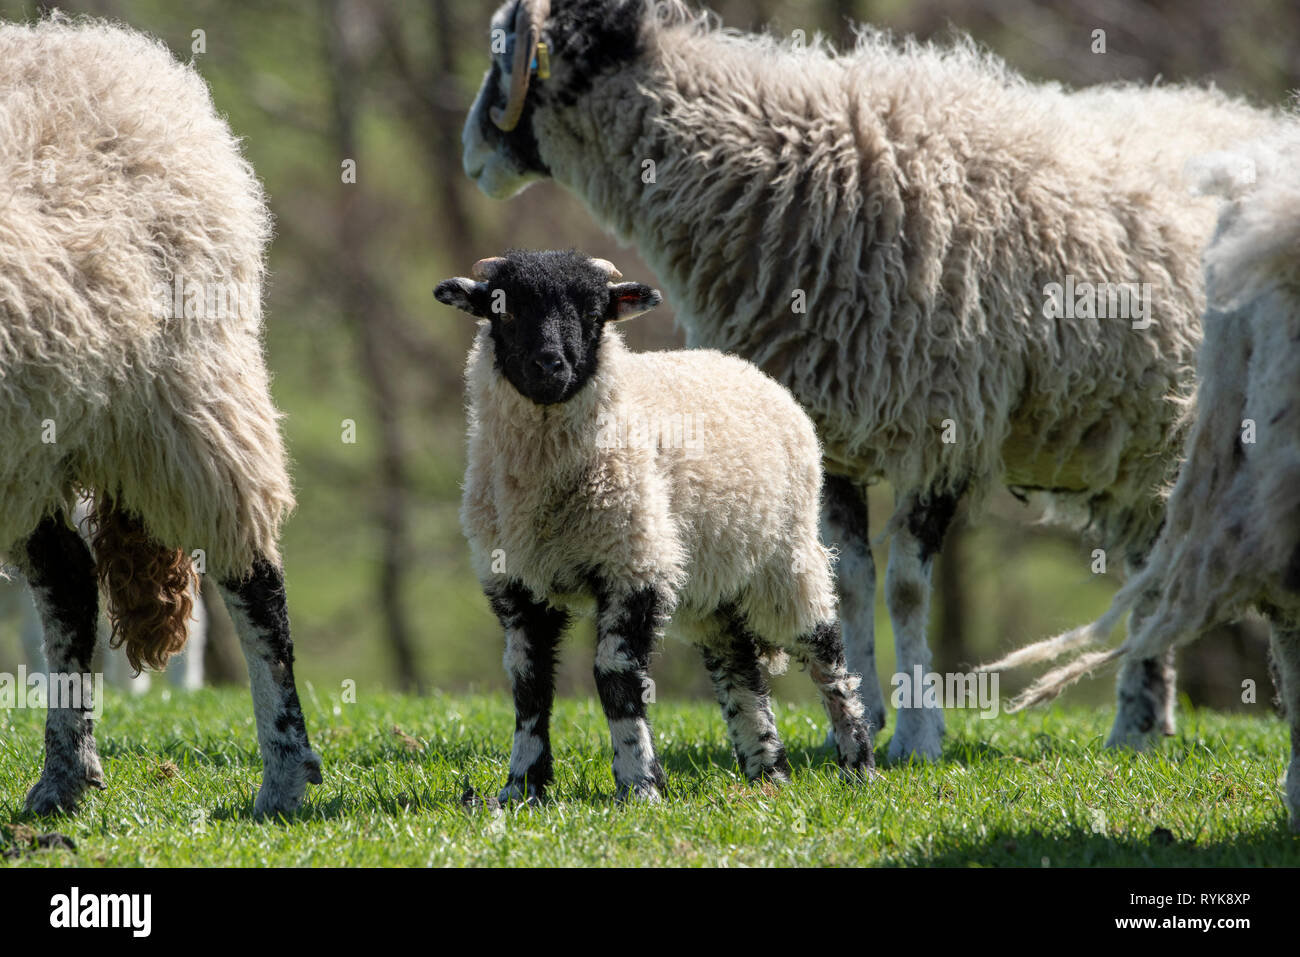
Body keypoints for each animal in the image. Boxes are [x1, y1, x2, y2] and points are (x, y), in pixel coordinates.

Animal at [1, 16, 321, 816]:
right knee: (70, 581)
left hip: (185, 394)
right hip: (34, 438)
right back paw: (64, 776)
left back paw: (283, 776)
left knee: (253, 577)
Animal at [436, 248, 873, 800]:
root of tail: (746, 368)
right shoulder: (516, 580)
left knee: (827, 657)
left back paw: (858, 765)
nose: (550, 364)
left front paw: (639, 784)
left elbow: (616, 676)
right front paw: (522, 788)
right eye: (504, 311)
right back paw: (767, 775)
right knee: (740, 671)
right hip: (712, 585)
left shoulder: (634, 563)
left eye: (593, 313)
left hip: (786, 560)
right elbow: (529, 682)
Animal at [457, 1, 1289, 764]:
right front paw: (854, 719)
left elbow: (906, 590)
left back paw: (1134, 726)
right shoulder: (831, 433)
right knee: (1151, 576)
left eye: (507, 54)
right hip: (1138, 457)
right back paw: (1144, 725)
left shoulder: (941, 423)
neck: (764, 164)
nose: (470, 157)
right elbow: (848, 580)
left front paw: (918, 734)